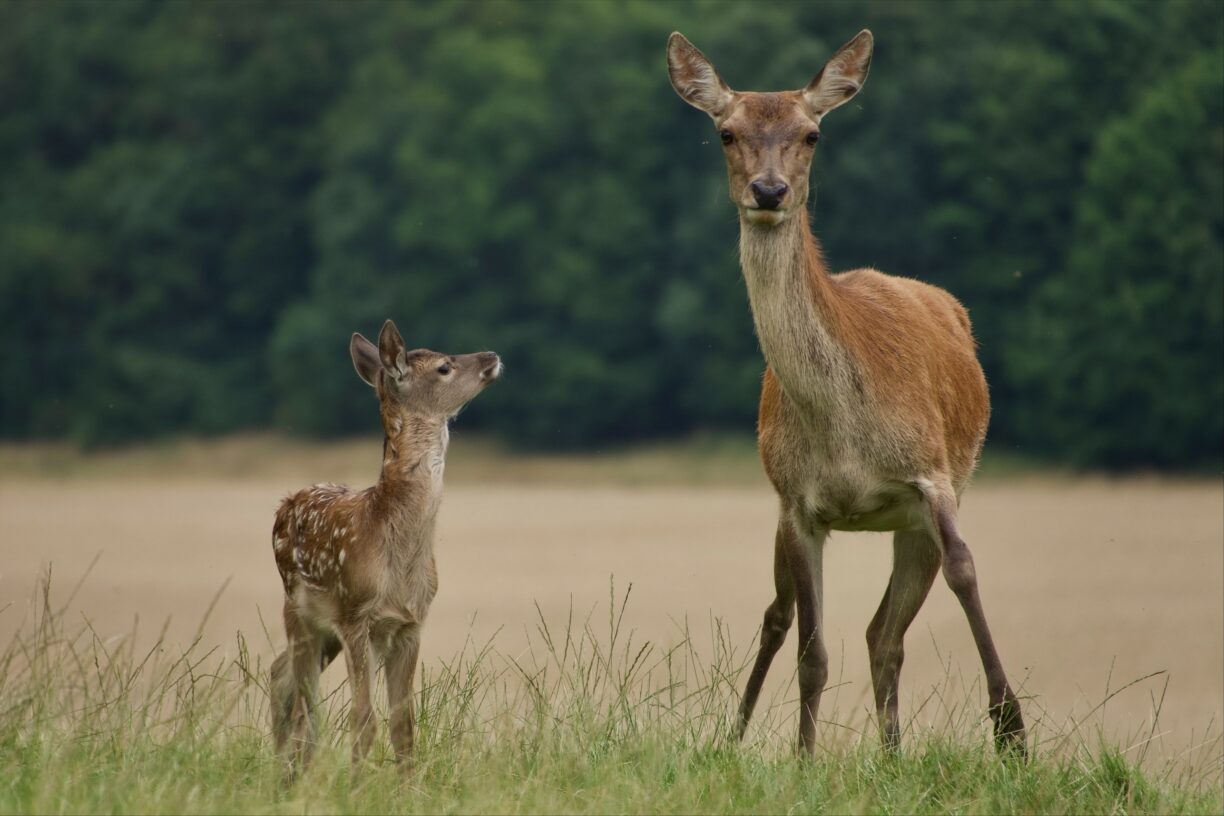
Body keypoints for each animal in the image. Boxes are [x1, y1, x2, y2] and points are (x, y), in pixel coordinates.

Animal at [268, 319, 502, 778]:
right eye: (445, 367)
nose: (491, 356)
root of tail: (287, 502)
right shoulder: (358, 614)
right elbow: (363, 717)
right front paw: (357, 784)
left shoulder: (410, 623)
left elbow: (403, 722)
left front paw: (409, 784)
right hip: (300, 608)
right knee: (302, 700)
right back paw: (294, 774)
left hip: (326, 631)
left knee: (280, 674)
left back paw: (288, 770)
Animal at [667, 30, 1026, 758]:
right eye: (725, 131)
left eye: (812, 134)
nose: (769, 189)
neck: (846, 433)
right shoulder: (798, 505)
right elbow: (811, 650)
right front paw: (804, 758)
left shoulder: (932, 477)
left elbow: (966, 570)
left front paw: (1012, 729)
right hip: (784, 514)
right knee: (787, 617)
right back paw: (740, 740)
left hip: (916, 517)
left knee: (883, 634)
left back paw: (892, 753)